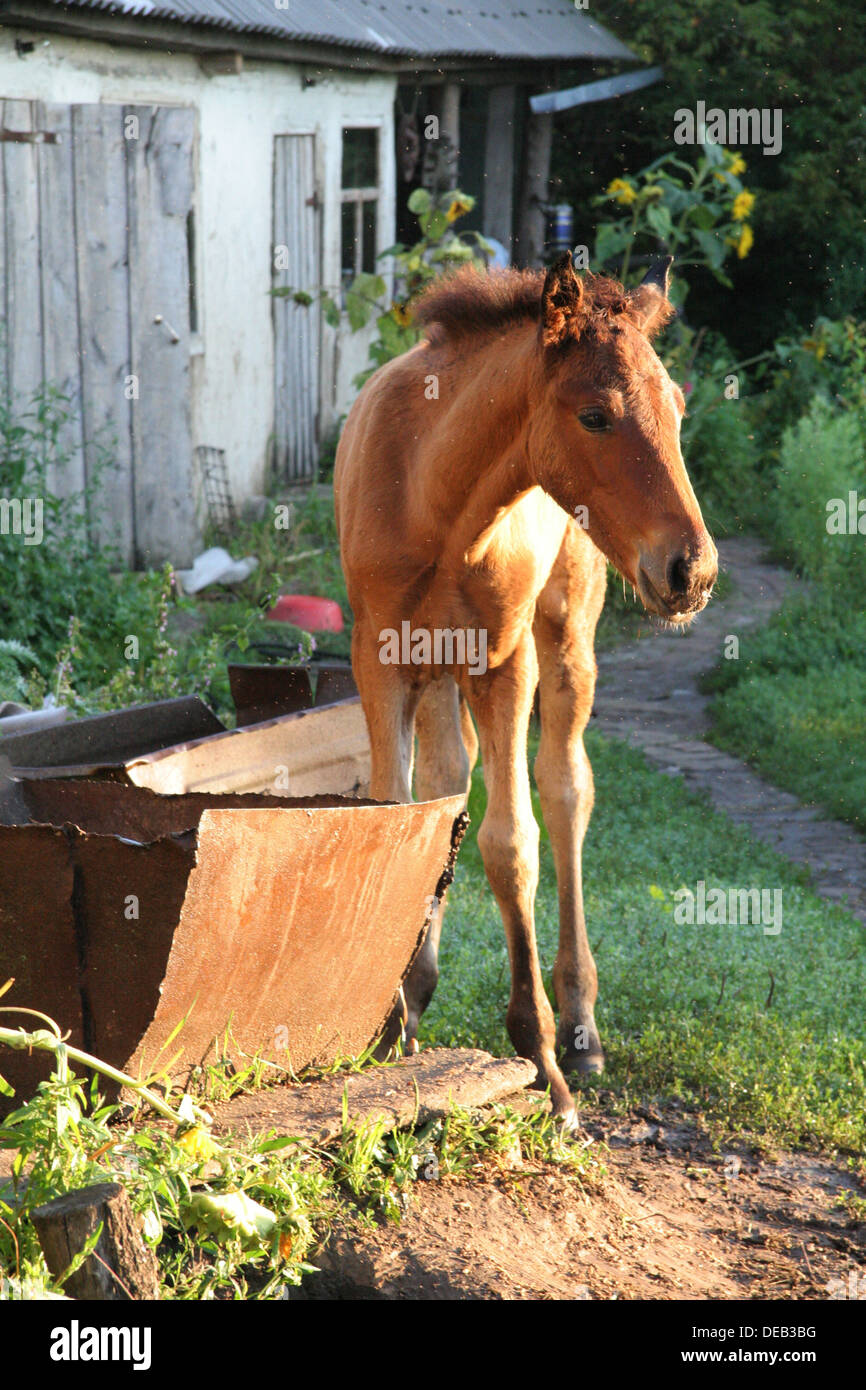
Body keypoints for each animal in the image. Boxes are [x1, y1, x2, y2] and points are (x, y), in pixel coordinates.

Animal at [334, 251, 717, 1126]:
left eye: (678, 410)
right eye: (596, 416)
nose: (693, 570)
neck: (436, 501)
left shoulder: (505, 662)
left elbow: (513, 845)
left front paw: (540, 1059)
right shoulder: (379, 659)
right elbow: (399, 820)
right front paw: (387, 1027)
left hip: (566, 633)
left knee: (566, 788)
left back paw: (579, 1025)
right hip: (438, 669)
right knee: (450, 778)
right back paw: (418, 987)